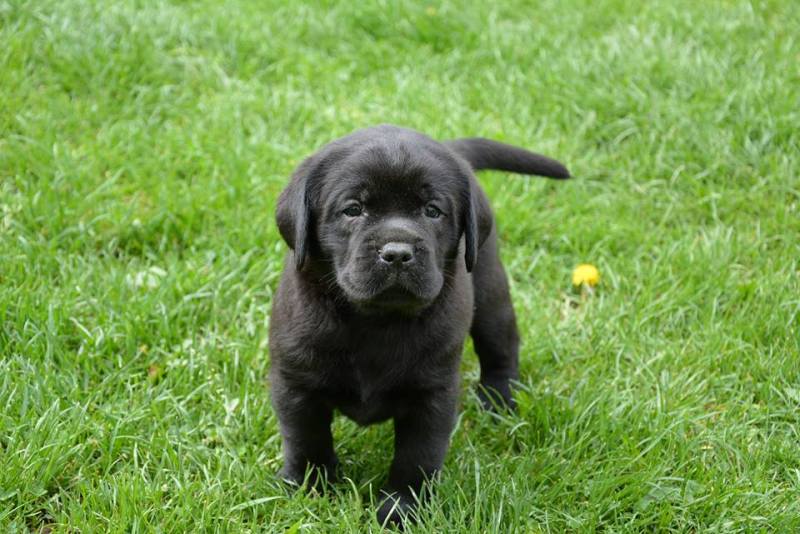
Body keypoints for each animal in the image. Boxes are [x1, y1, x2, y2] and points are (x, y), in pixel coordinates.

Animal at [268, 125, 568, 528]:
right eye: (353, 209)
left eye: (432, 211)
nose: (397, 253)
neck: (376, 321)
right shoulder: (295, 382)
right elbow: (306, 438)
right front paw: (309, 488)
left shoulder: (433, 393)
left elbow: (418, 455)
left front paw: (402, 508)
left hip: (490, 291)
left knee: (501, 347)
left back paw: (499, 401)